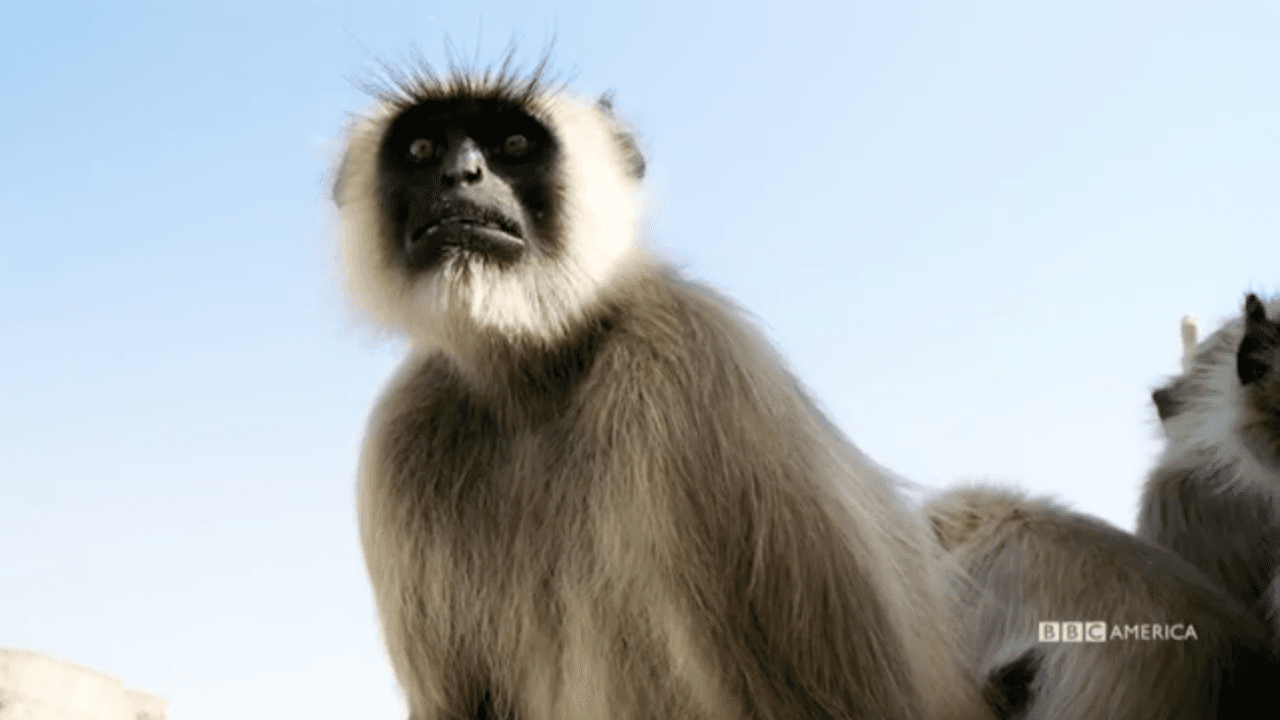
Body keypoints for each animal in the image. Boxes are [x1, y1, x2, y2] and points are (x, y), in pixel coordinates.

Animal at [331, 52, 994, 720]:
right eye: (422, 148)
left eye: (514, 144)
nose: (461, 175)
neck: (541, 378)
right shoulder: (405, 428)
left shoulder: (695, 361)